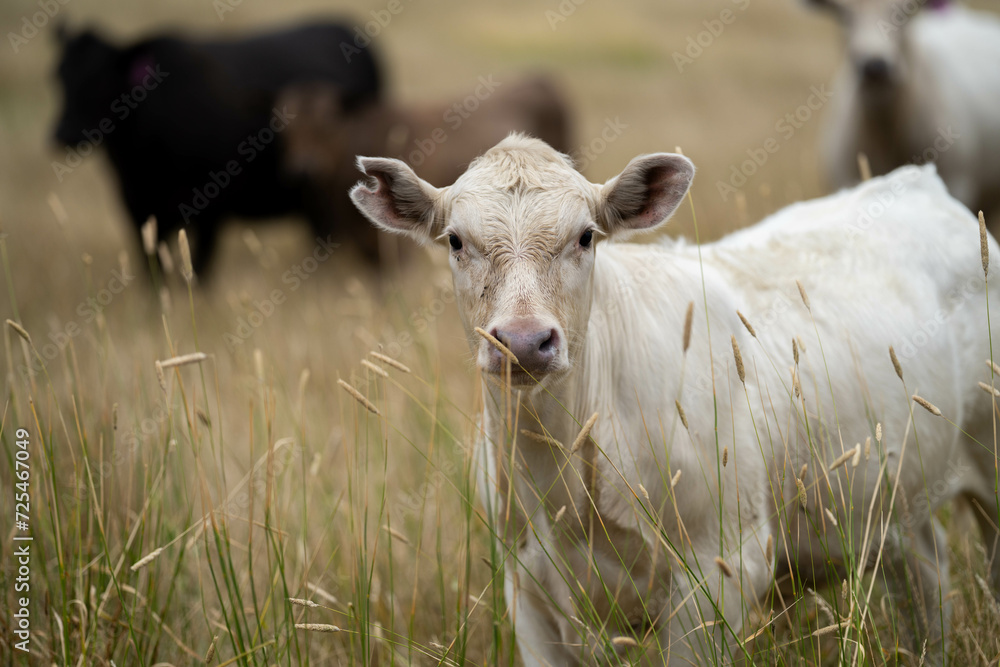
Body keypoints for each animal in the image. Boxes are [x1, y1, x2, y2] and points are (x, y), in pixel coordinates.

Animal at [52, 21, 382, 276]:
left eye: (101, 80)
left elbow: (198, 273)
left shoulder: (209, 209)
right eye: (57, 78)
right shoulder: (138, 213)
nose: (63, 133)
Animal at [351, 134, 1000, 665]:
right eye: (456, 241)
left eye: (585, 237)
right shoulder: (527, 588)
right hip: (893, 505)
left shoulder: (722, 570)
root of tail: (920, 181)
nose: (524, 341)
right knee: (927, 572)